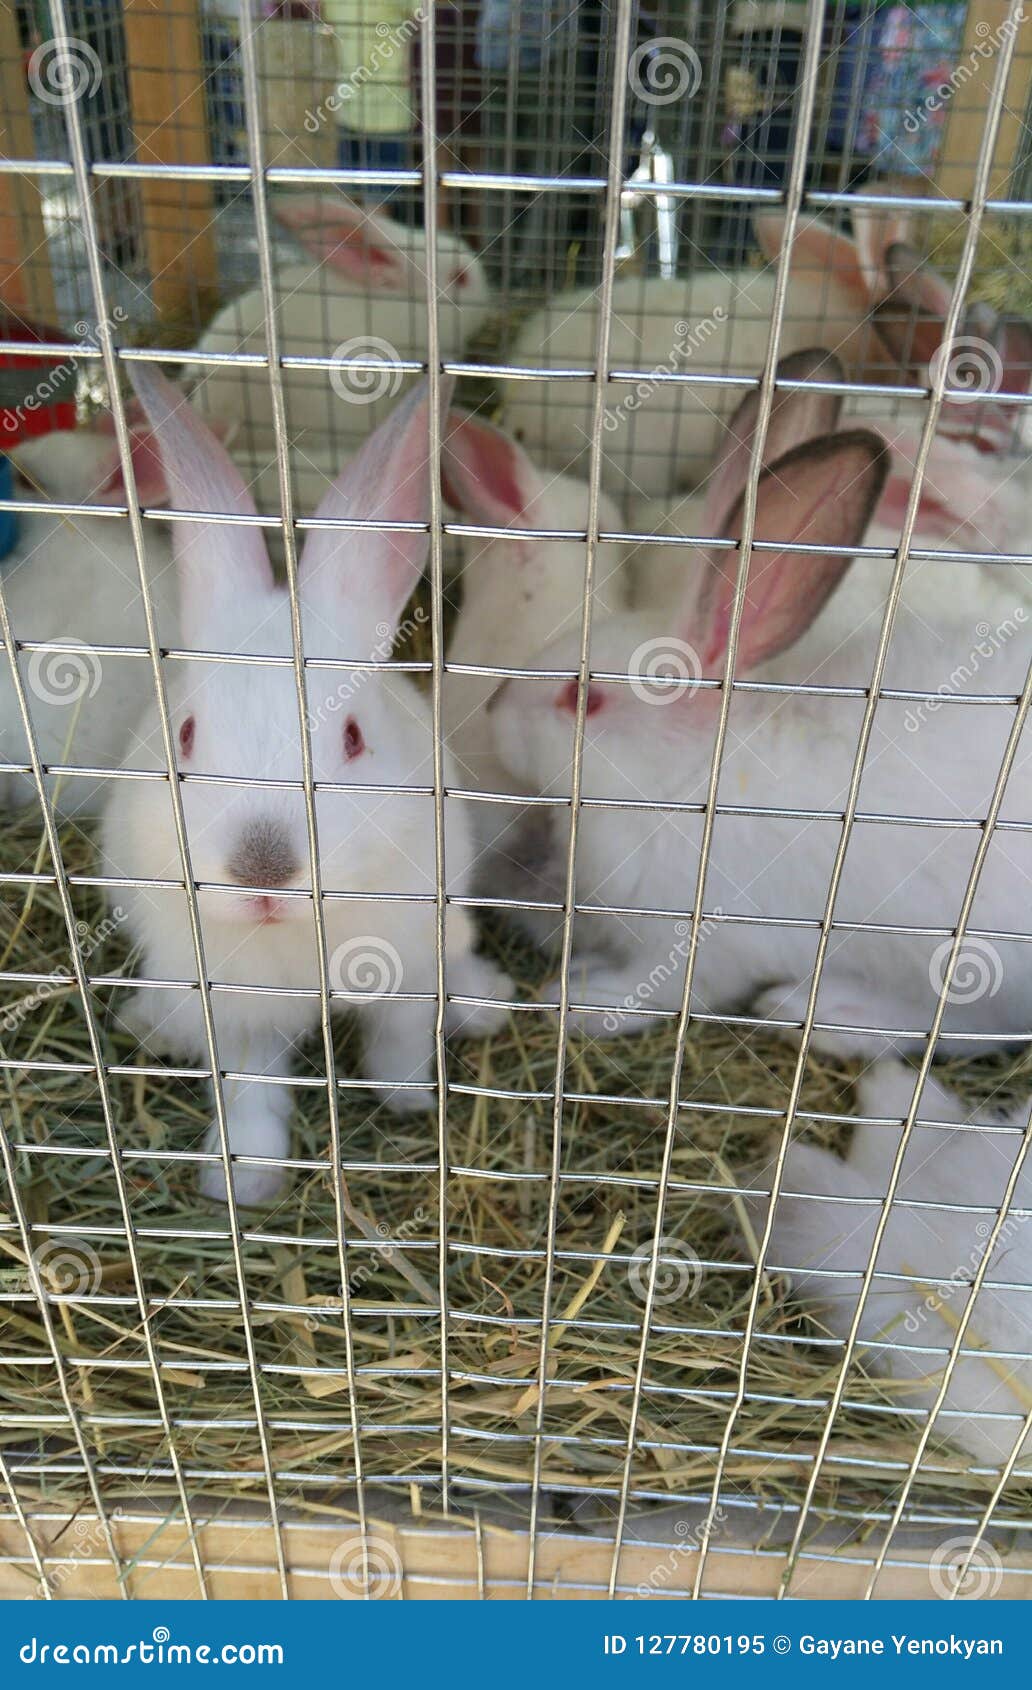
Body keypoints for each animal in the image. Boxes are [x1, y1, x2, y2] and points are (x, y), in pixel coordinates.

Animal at [101, 366, 512, 1207]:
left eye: (352, 737)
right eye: (185, 734)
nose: (264, 868)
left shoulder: (410, 969)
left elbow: (398, 1042)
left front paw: (408, 1100)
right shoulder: (236, 1011)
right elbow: (251, 1090)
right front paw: (243, 1180)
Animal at [486, 392, 1032, 1062]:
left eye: (584, 699)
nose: (493, 709)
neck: (690, 781)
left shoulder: (699, 946)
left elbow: (660, 992)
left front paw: (580, 999)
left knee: (973, 1024)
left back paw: (820, 1009)